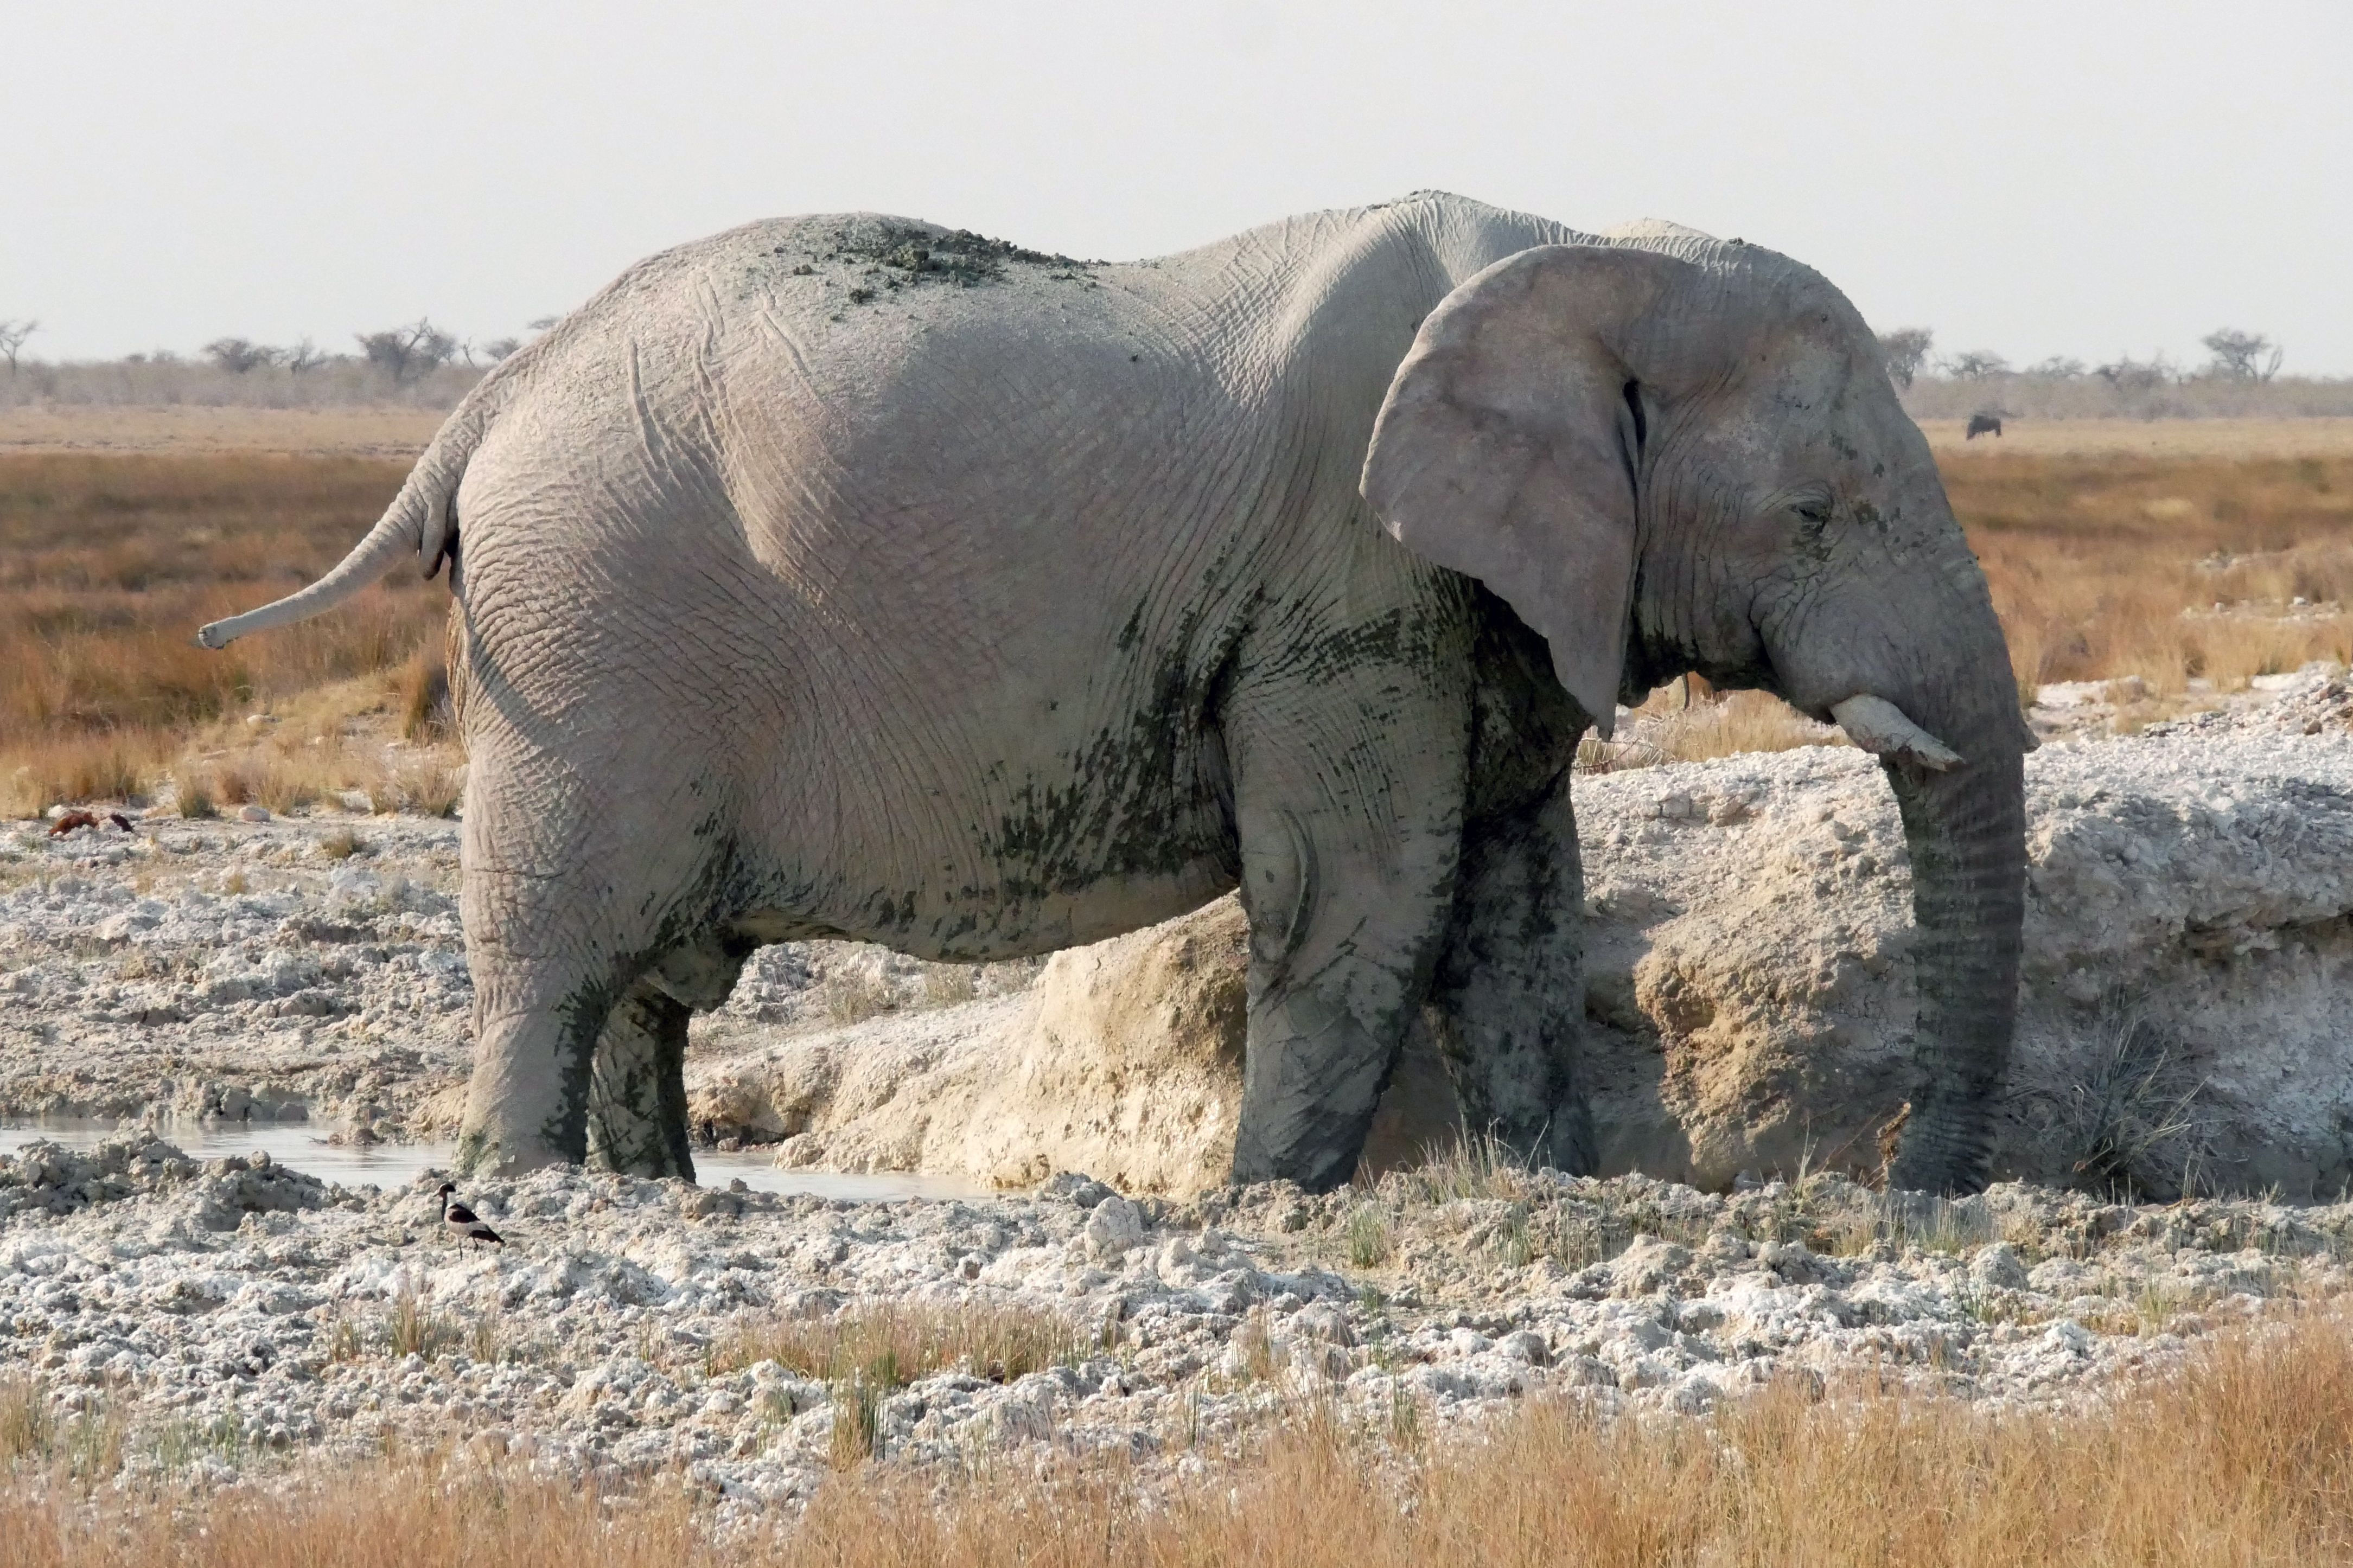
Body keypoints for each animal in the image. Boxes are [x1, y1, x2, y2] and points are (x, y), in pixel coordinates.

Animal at [198, 191, 2030, 1195]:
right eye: (1820, 514)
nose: (1914, 1190)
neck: (1575, 251)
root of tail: (483, 404)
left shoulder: (1483, 603)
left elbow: (1514, 906)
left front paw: (1548, 1185)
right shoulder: (1344, 585)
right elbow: (1363, 898)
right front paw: (1271, 1205)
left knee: (649, 973)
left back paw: (664, 1197)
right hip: (594, 631)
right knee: (566, 938)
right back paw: (530, 1193)